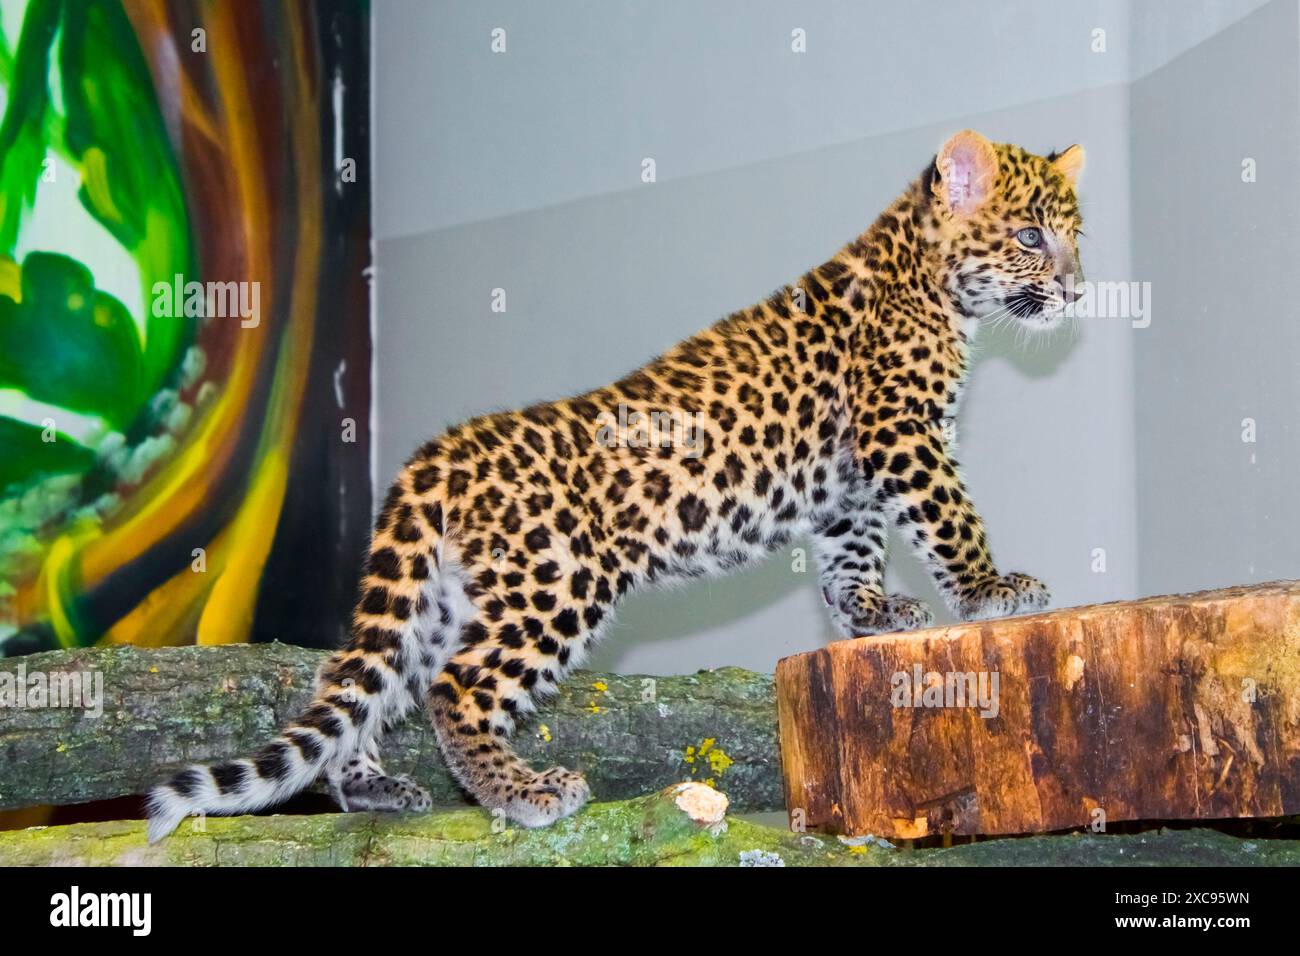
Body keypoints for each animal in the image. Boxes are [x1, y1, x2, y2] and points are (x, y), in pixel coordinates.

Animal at [147, 129, 1085, 839]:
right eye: (1030, 238)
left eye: (1076, 236)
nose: (1078, 287)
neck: (933, 283)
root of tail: (439, 452)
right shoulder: (903, 434)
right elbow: (950, 519)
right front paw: (993, 590)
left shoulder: (850, 482)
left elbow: (851, 556)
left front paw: (873, 616)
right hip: (558, 578)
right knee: (458, 685)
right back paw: (523, 792)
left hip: (441, 595)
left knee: (362, 684)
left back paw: (373, 787)